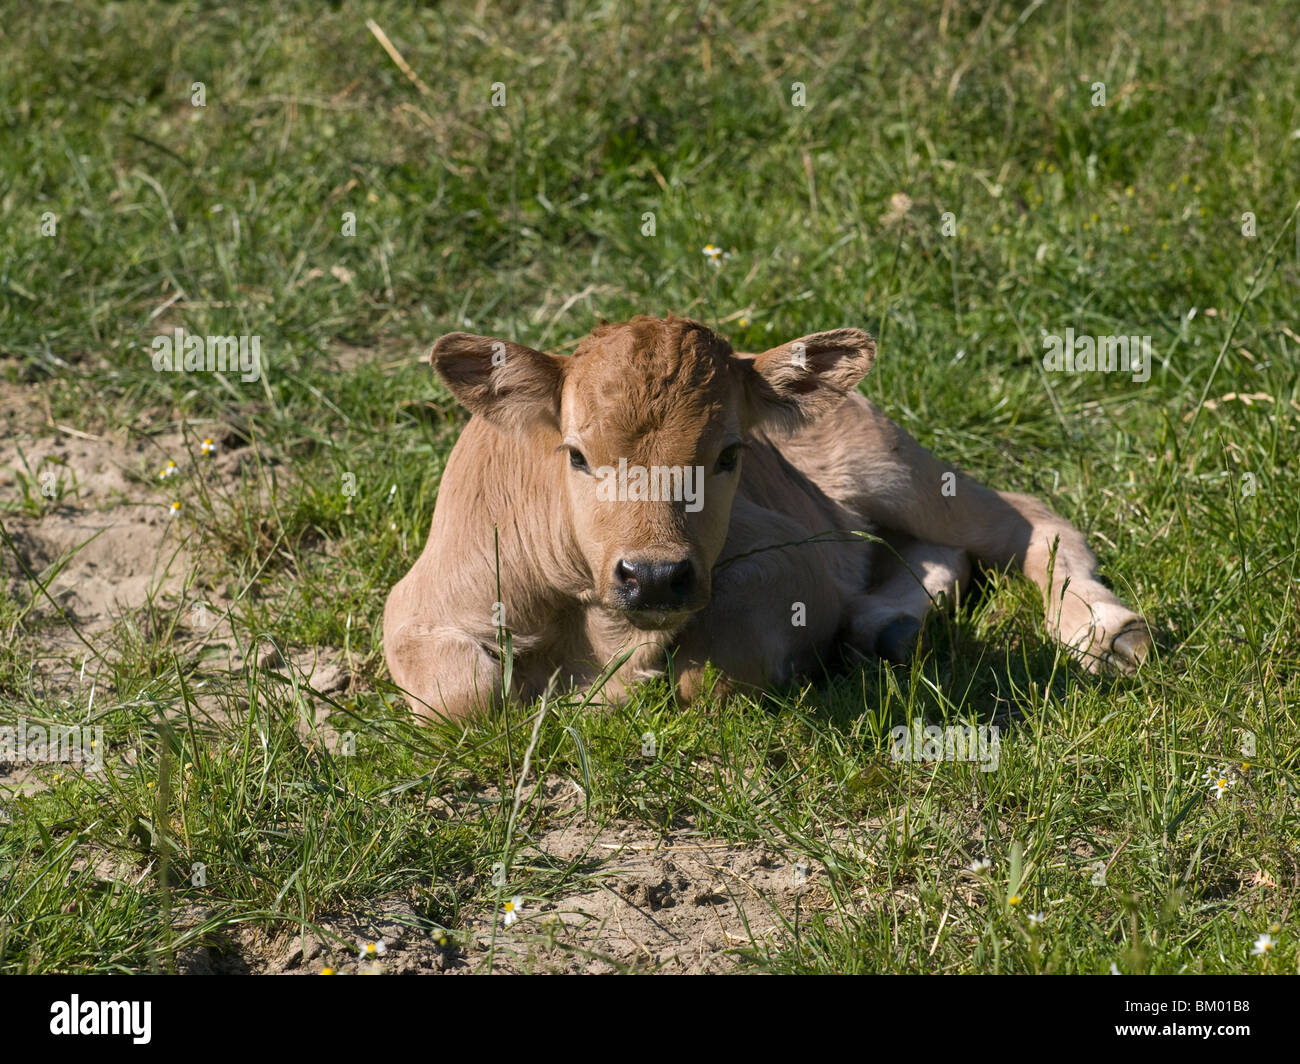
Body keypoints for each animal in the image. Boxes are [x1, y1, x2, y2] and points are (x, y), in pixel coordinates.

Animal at [384, 315, 1151, 722]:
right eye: (576, 454)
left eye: (730, 453)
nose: (653, 577)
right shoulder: (419, 603)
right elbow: (466, 696)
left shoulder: (790, 556)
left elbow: (706, 675)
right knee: (933, 552)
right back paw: (885, 628)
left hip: (889, 464)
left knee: (1024, 520)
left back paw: (1105, 631)